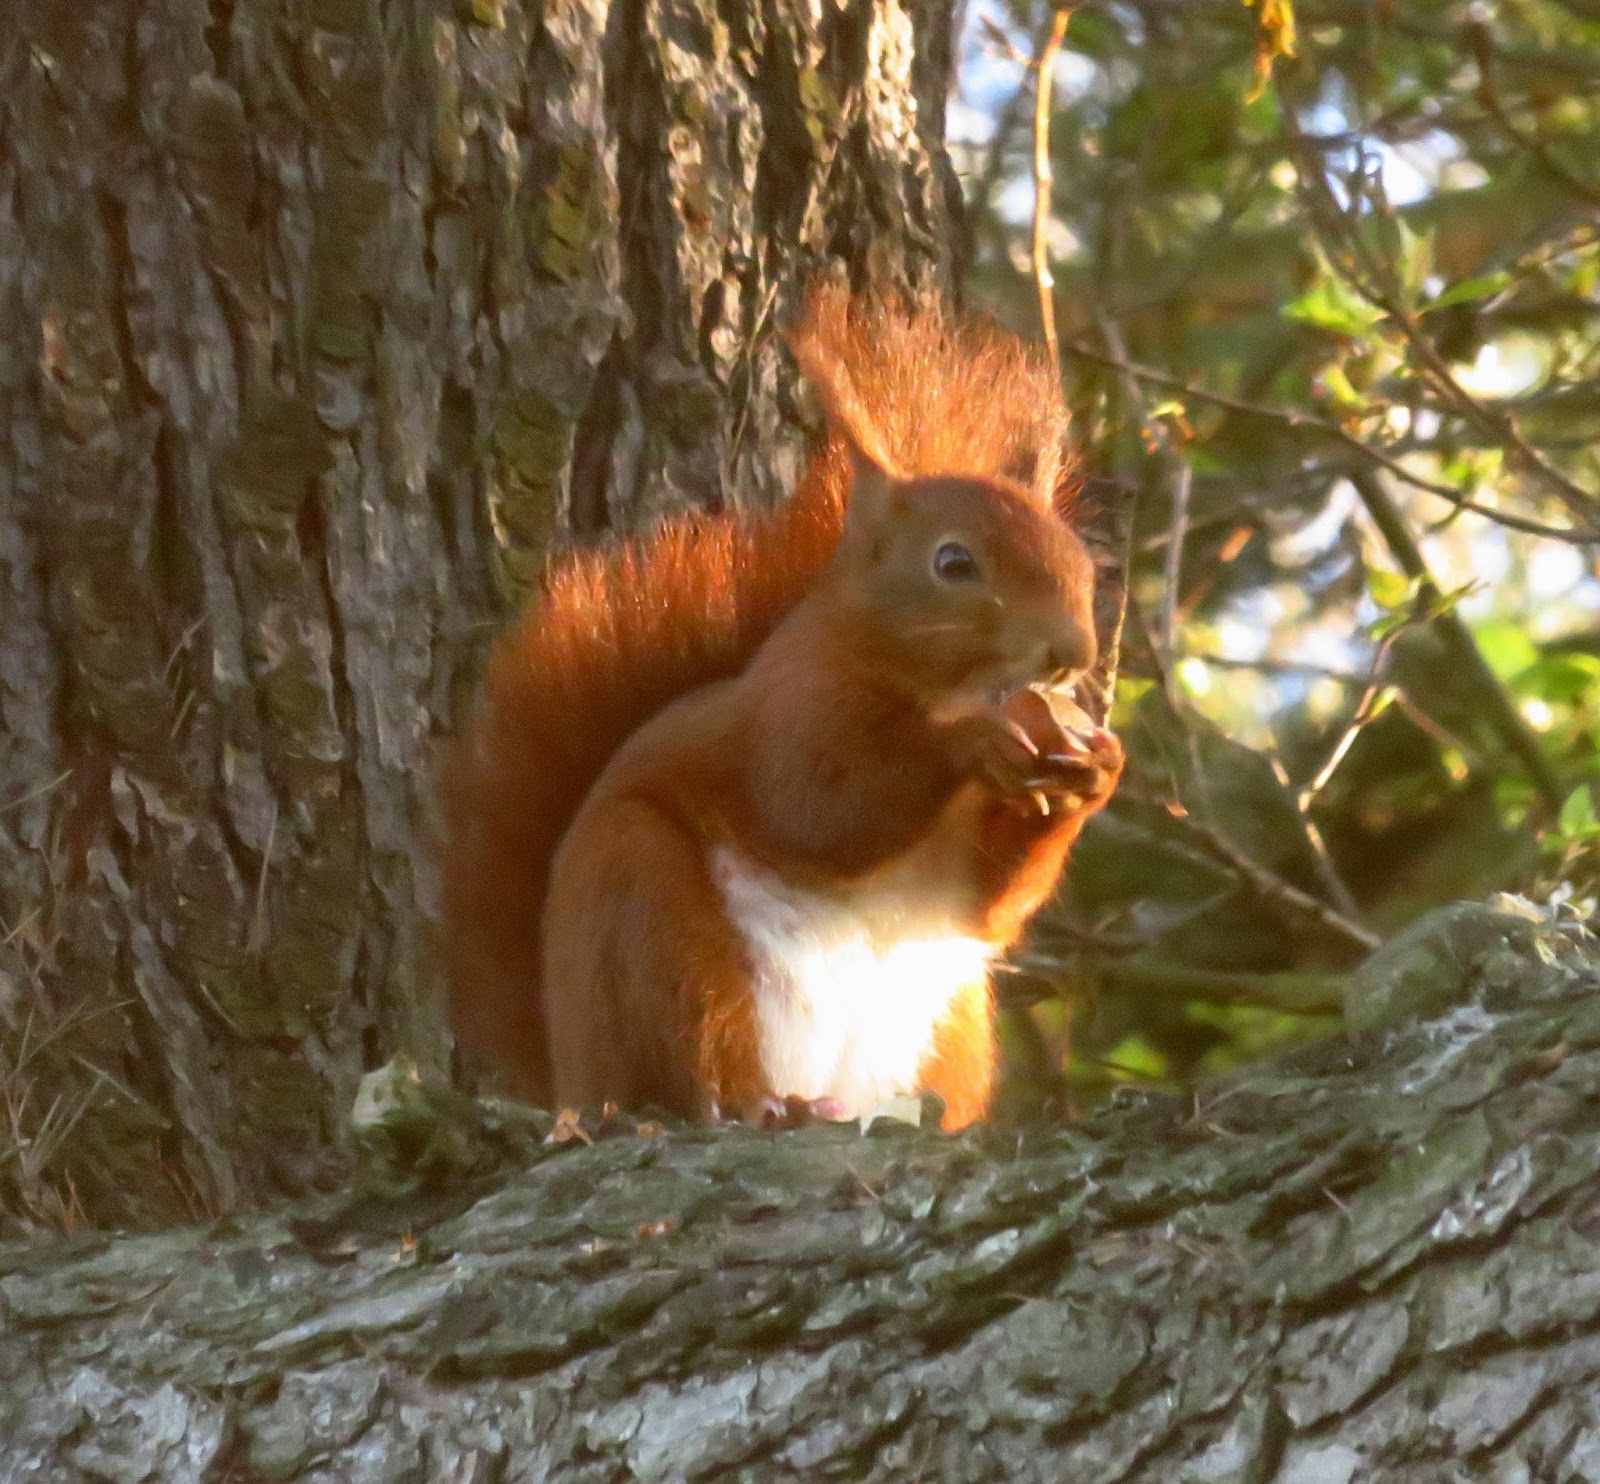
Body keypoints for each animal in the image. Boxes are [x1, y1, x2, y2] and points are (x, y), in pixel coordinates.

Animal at [441, 285, 1123, 1130]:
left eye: (1077, 559)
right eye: (953, 562)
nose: (1074, 653)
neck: (934, 688)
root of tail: (572, 1081)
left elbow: (995, 901)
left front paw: (1097, 772)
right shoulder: (787, 709)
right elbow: (822, 808)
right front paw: (974, 741)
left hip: (951, 1026)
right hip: (649, 919)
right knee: (695, 1071)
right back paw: (769, 1105)